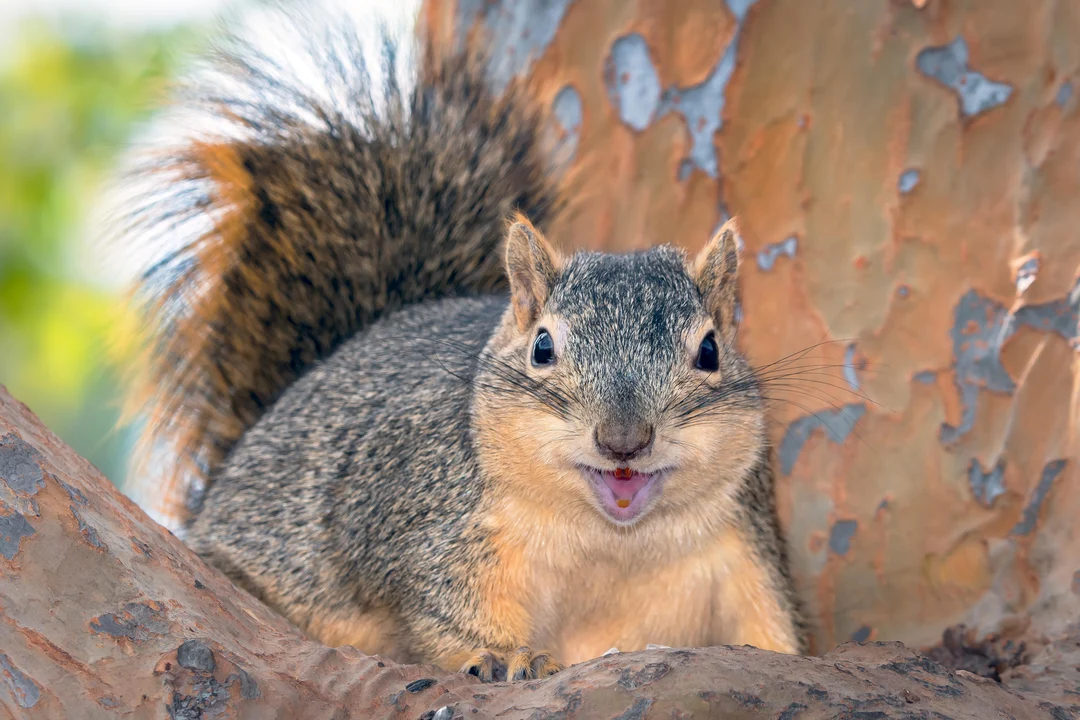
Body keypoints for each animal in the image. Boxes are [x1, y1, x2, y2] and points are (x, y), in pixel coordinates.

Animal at [120, 2, 806, 682]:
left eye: (710, 351)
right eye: (542, 347)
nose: (624, 441)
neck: (610, 542)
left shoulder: (744, 541)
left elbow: (771, 622)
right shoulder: (433, 521)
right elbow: (442, 606)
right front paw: (504, 654)